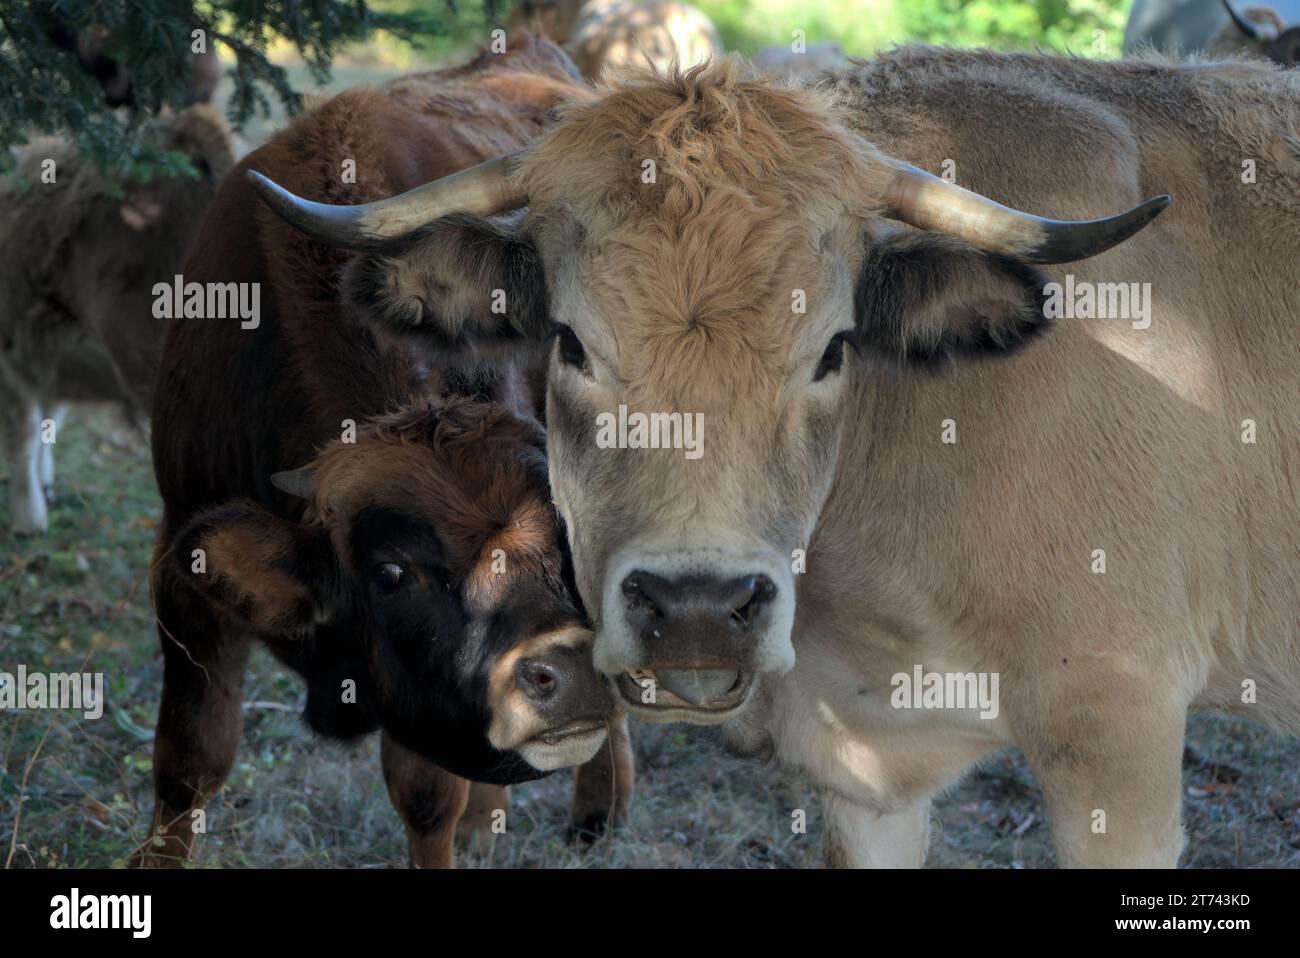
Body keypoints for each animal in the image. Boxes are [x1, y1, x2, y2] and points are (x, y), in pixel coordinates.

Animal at [139, 37, 632, 869]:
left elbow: (425, 794)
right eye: (391, 572)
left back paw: (599, 808)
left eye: (562, 536)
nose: (570, 672)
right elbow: (189, 761)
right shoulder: (183, 565)